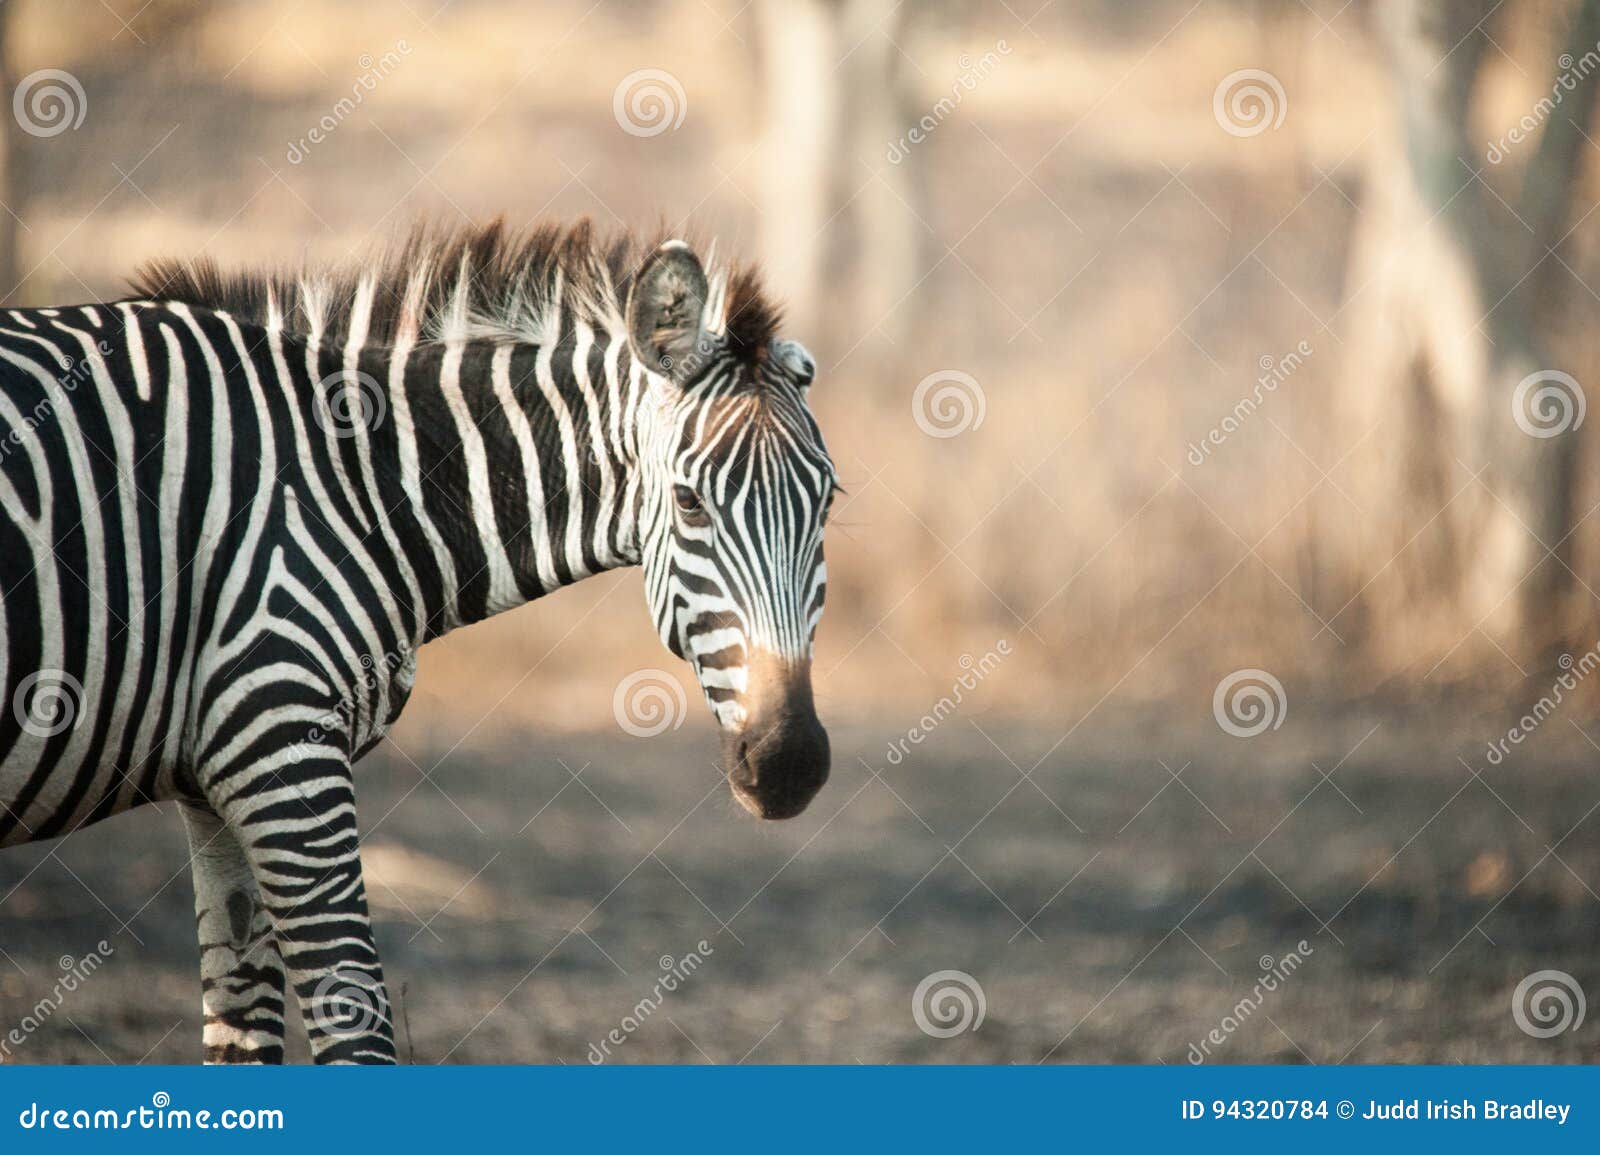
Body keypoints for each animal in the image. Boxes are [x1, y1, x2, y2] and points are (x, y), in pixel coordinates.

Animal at [0, 219, 837, 1063]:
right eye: (690, 502)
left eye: (828, 502)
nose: (790, 762)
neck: (356, 477)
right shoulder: (282, 746)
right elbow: (357, 1024)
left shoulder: (214, 786)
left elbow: (242, 1039)